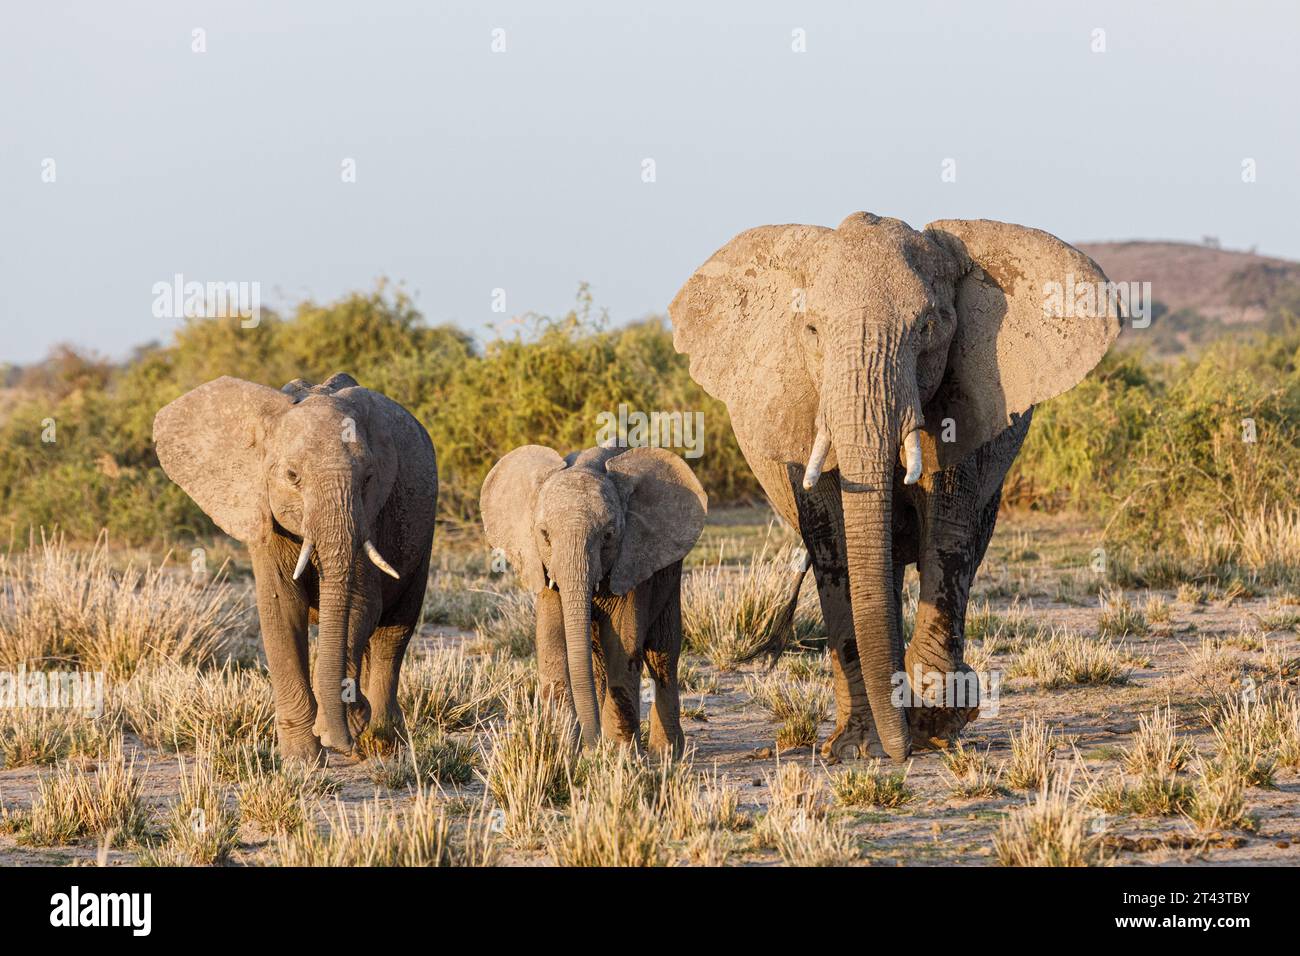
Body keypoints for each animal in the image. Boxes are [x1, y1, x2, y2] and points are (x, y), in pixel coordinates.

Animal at [153, 372, 437, 762]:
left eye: (368, 478)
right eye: (291, 475)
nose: (344, 740)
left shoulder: (371, 517)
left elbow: (361, 604)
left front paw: (345, 722)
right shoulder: (262, 510)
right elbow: (280, 609)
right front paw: (302, 758)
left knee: (393, 634)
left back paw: (381, 740)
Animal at [480, 445, 707, 752]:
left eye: (609, 535)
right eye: (545, 535)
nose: (592, 742)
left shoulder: (631, 561)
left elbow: (623, 646)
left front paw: (619, 754)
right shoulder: (543, 566)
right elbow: (552, 641)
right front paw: (566, 750)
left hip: (669, 576)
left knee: (662, 655)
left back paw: (667, 753)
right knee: (599, 662)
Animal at [670, 212, 1121, 761]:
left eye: (928, 327)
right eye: (812, 330)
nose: (902, 750)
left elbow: (946, 533)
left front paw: (934, 722)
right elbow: (835, 546)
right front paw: (859, 748)